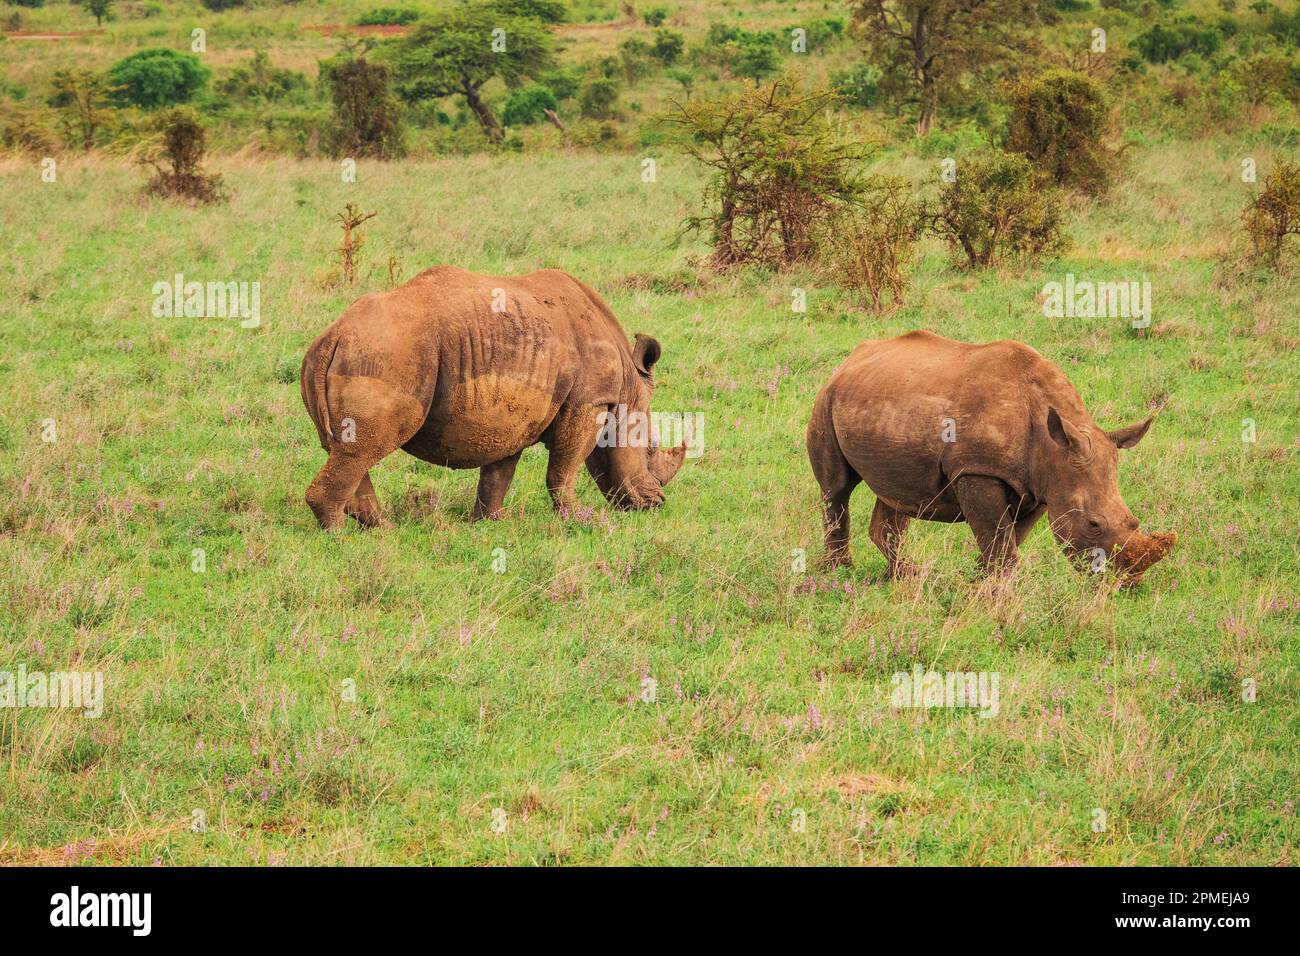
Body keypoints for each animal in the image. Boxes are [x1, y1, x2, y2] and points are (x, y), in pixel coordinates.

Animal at [300, 266, 687, 529]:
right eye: (651, 447)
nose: (657, 503)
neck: (627, 387)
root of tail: (332, 337)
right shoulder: (588, 402)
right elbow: (564, 468)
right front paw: (578, 519)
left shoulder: (513, 417)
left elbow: (499, 472)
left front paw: (490, 522)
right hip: (388, 352)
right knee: (364, 448)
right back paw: (341, 536)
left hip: (364, 352)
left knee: (351, 449)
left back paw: (383, 529)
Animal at [806, 331, 1175, 583]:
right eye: (1093, 524)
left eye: (1134, 522)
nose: (1125, 583)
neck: (1052, 445)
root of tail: (850, 359)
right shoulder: (977, 470)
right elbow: (997, 537)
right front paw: (999, 590)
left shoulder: (1039, 485)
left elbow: (1009, 538)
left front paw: (981, 581)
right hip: (826, 399)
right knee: (836, 488)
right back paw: (839, 573)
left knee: (899, 495)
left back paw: (903, 576)